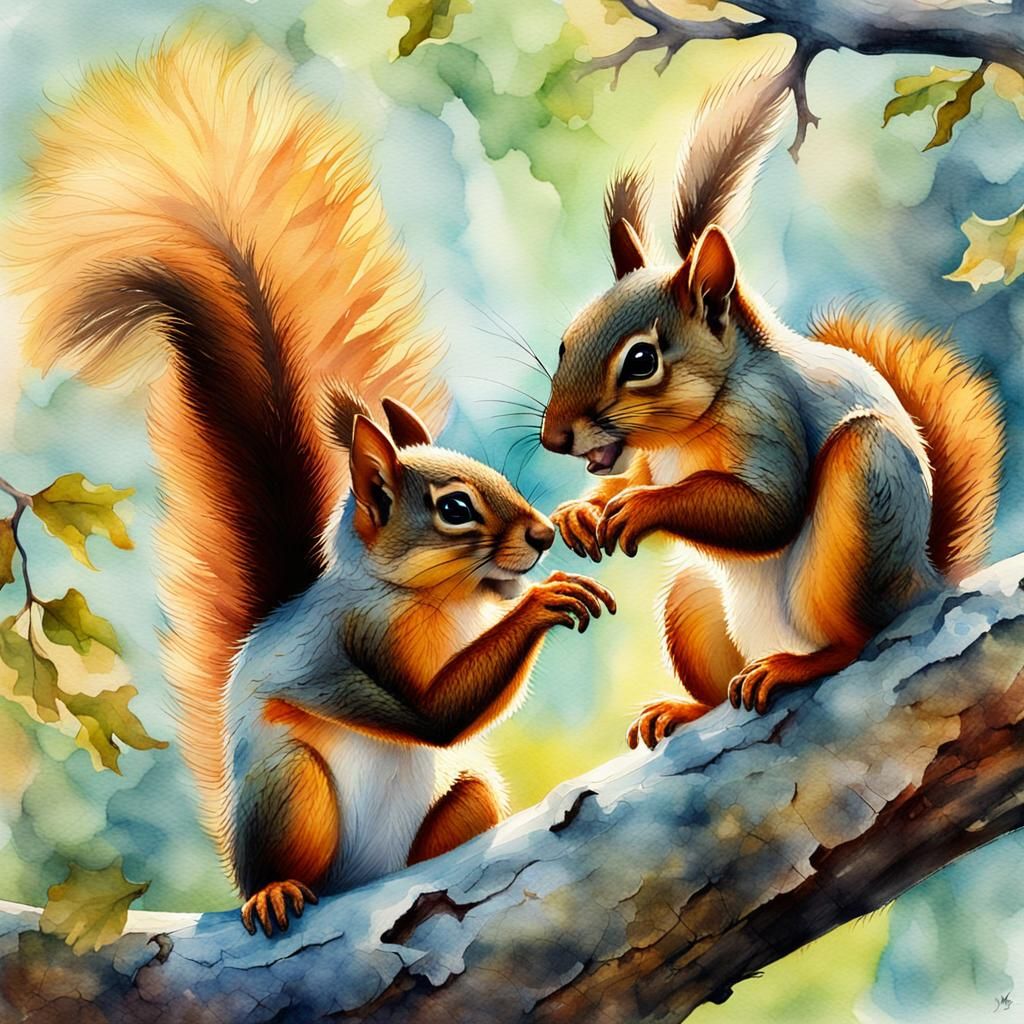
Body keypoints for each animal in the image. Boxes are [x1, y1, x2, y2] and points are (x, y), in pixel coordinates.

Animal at [7, 33, 614, 936]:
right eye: (454, 508)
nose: (541, 537)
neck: (436, 601)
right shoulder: (357, 640)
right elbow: (431, 713)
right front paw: (549, 598)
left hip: (468, 794)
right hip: (290, 788)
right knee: (291, 854)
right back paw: (276, 892)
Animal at [540, 68, 1004, 746]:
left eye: (641, 360)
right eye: (565, 341)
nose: (553, 439)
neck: (684, 433)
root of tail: (924, 583)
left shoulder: (769, 416)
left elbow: (768, 510)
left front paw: (642, 508)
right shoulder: (650, 460)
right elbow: (630, 479)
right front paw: (581, 512)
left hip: (859, 510)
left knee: (855, 640)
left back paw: (795, 666)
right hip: (690, 597)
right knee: (715, 688)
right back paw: (683, 710)